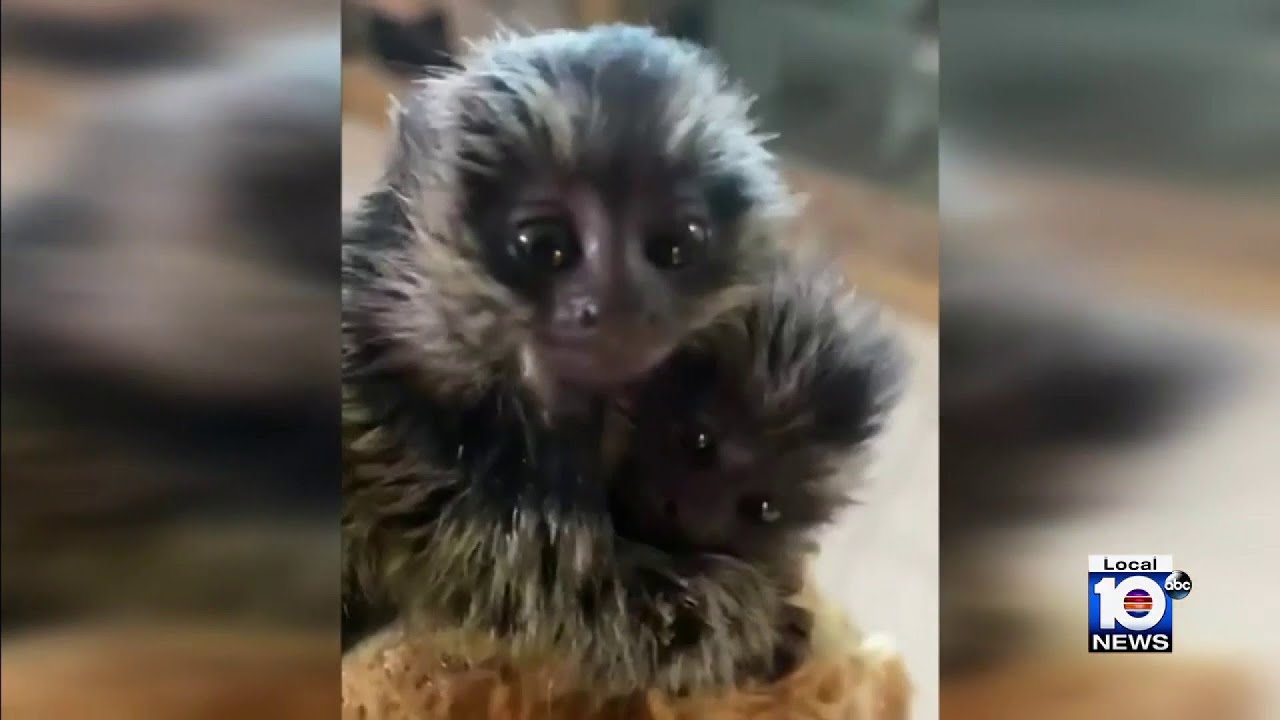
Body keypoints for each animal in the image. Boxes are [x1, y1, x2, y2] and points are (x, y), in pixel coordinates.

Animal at [341, 23, 796, 667]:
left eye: (677, 244)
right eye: (545, 246)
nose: (619, 307)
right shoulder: (410, 458)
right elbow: (565, 589)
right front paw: (763, 625)